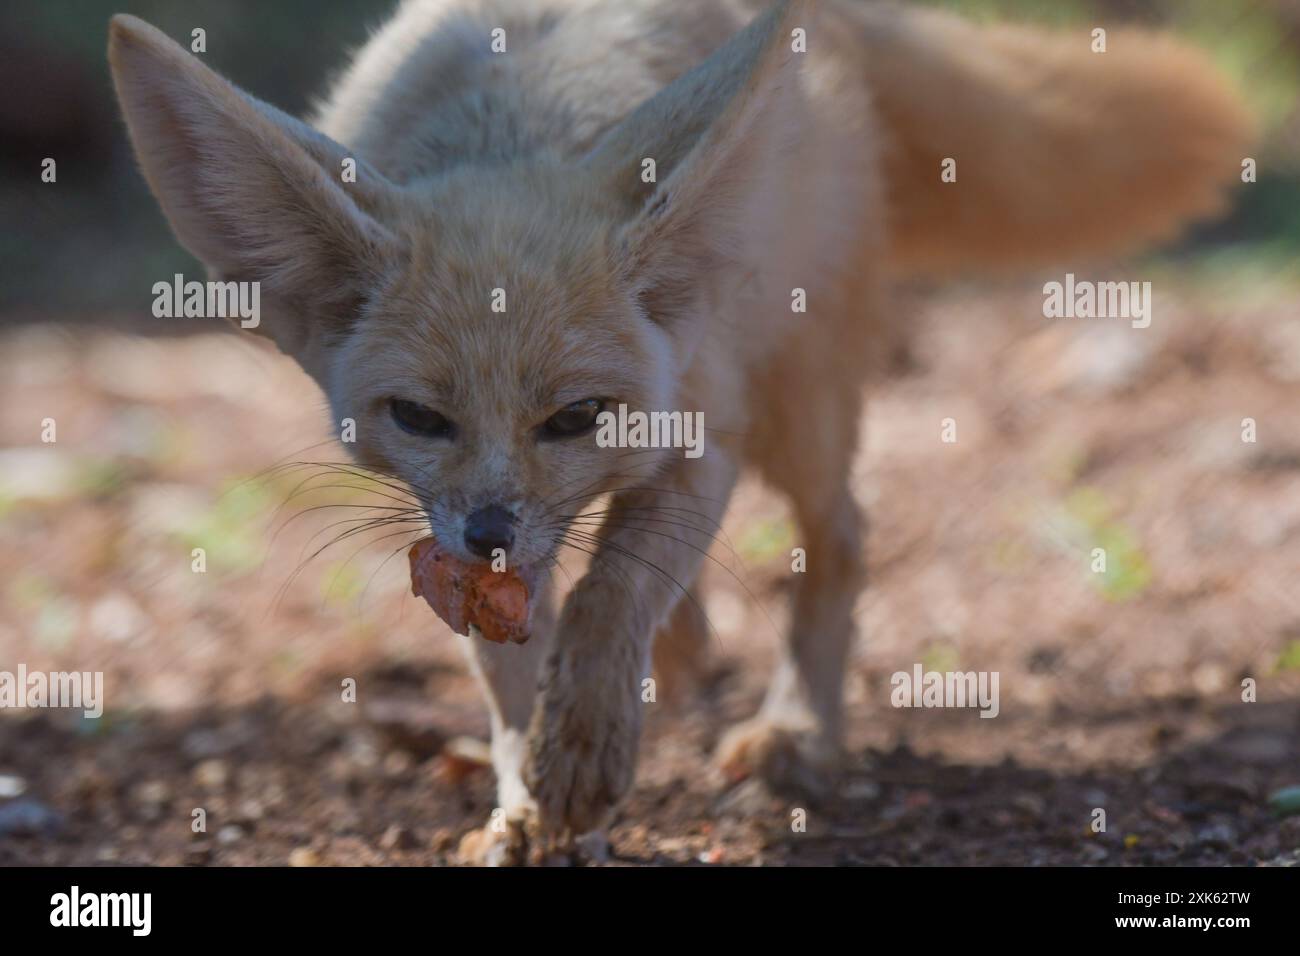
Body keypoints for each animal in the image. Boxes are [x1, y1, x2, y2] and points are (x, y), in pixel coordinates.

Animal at [107, 0, 1252, 863]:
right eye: (421, 417)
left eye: (575, 415)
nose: (487, 535)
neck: (517, 132)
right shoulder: (489, 542)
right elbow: (518, 664)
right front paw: (525, 797)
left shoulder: (702, 433)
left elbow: (613, 592)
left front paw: (582, 754)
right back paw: (685, 657)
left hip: (797, 414)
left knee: (841, 538)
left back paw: (797, 730)